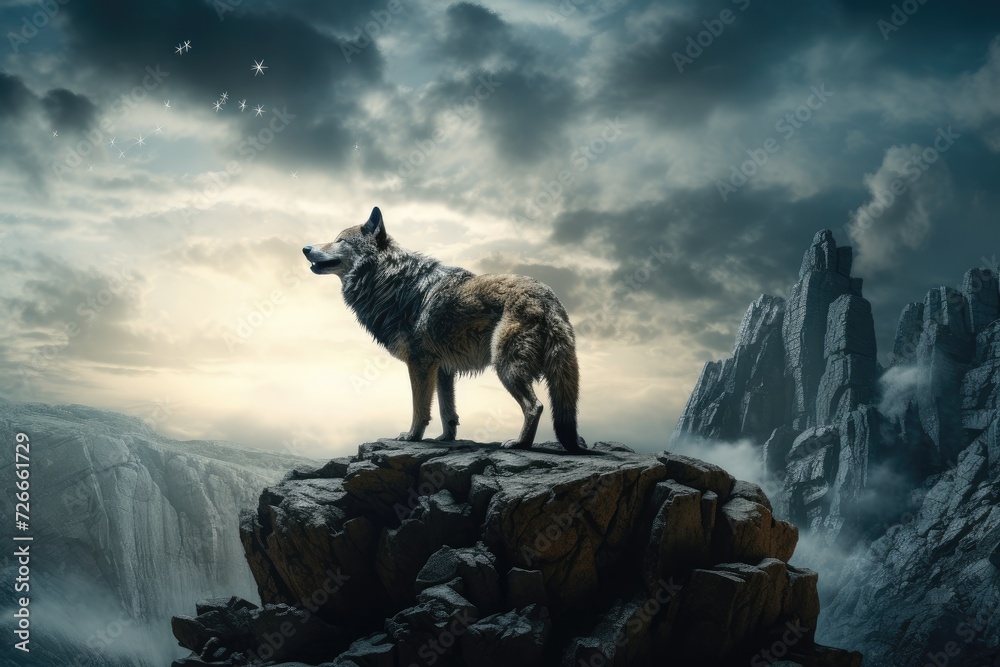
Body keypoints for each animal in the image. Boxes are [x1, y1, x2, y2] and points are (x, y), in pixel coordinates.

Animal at [302, 206, 586, 453]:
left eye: (339, 240)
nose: (305, 248)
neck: (390, 281)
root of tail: (549, 301)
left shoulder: (420, 363)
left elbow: (420, 408)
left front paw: (412, 437)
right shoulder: (442, 369)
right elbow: (446, 411)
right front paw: (446, 439)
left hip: (506, 367)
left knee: (534, 406)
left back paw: (520, 444)